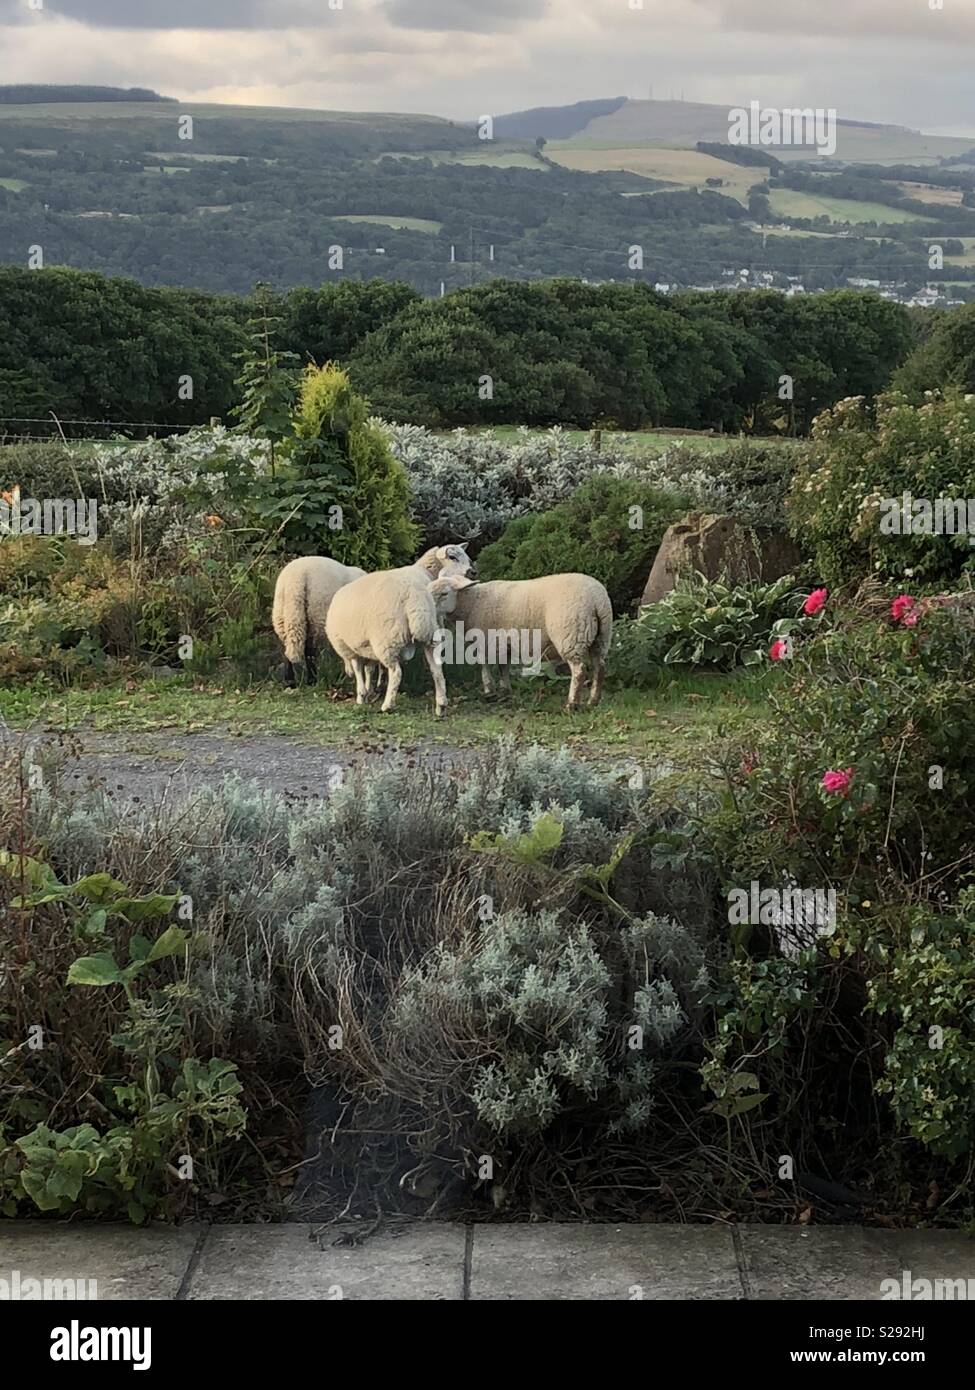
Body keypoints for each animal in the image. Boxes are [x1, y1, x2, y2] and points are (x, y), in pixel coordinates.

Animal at [271, 555, 367, 686]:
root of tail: (296, 579)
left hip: (283, 614)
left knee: (287, 649)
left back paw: (290, 681)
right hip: (315, 613)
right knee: (309, 650)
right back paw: (312, 680)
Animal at [324, 545, 475, 717]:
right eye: (453, 557)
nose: (472, 571)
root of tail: (415, 597)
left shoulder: (352, 645)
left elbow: (359, 668)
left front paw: (362, 695)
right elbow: (368, 668)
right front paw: (369, 691)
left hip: (387, 640)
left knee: (396, 672)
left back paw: (387, 705)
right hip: (427, 635)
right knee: (436, 671)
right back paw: (441, 706)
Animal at [450, 573, 613, 710]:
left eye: (446, 590)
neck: (472, 601)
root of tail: (597, 600)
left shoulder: (485, 642)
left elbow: (485, 667)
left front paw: (490, 692)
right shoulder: (504, 645)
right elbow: (503, 667)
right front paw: (505, 691)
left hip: (571, 635)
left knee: (579, 671)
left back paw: (571, 705)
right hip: (601, 637)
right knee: (600, 667)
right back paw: (593, 701)